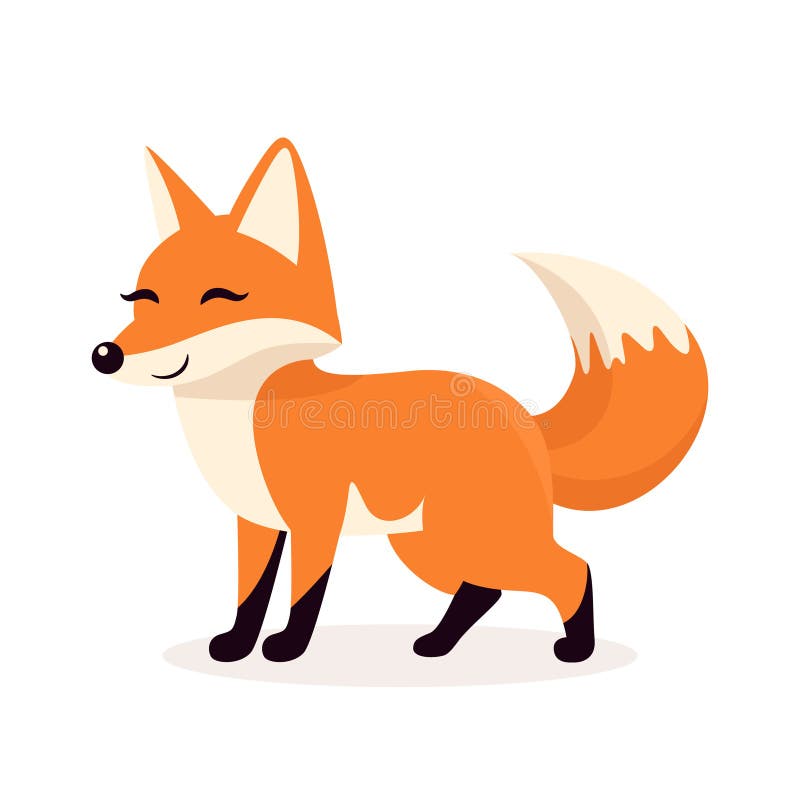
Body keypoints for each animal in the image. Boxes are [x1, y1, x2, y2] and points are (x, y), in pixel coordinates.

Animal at [92, 139, 708, 664]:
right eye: (141, 299)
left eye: (217, 298)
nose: (106, 355)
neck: (239, 415)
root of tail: (523, 416)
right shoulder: (257, 521)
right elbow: (249, 595)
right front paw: (237, 645)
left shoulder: (316, 518)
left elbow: (303, 593)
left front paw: (287, 647)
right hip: (427, 543)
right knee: (484, 589)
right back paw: (438, 644)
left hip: (477, 536)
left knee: (570, 568)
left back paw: (575, 649)